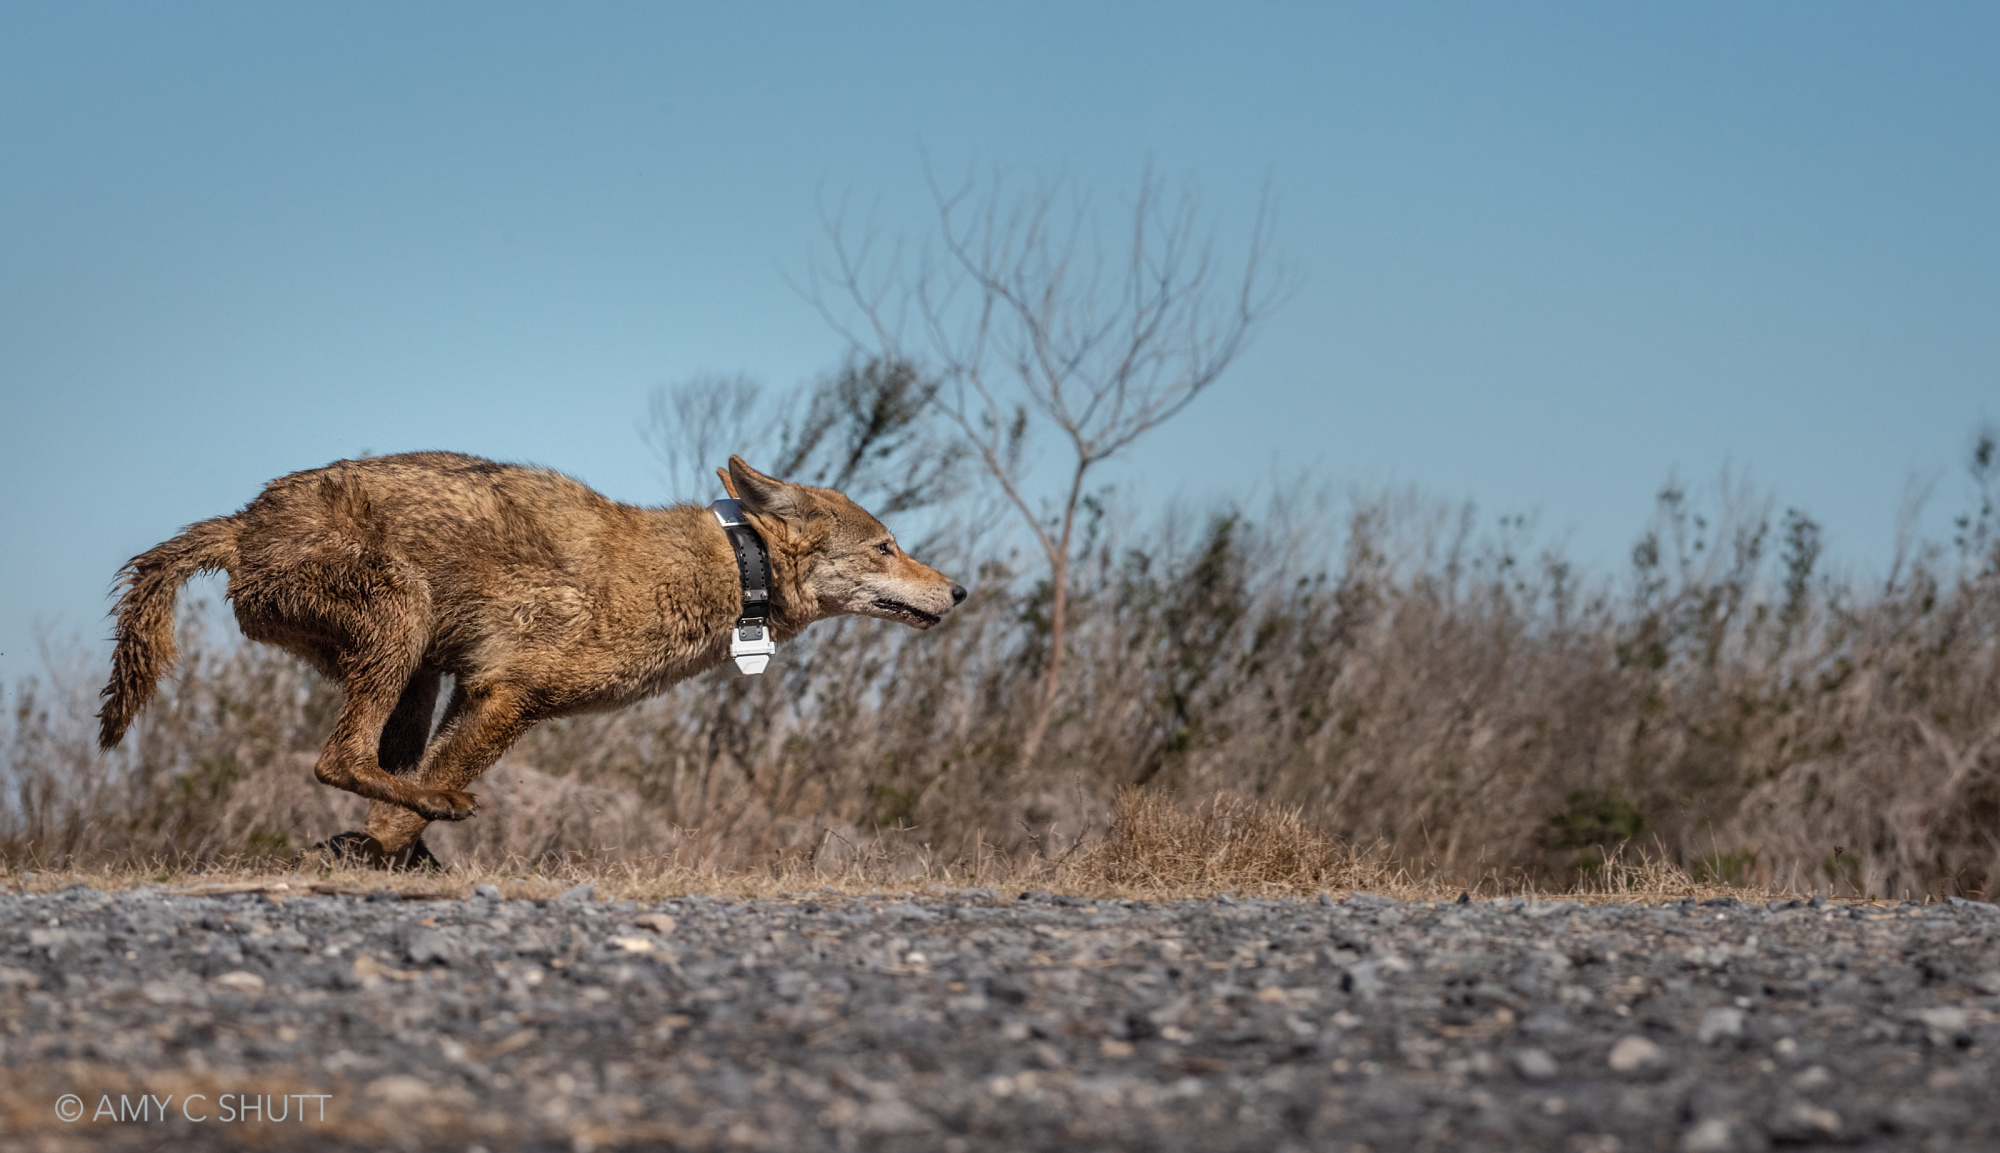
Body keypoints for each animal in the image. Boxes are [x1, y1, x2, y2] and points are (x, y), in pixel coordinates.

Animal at [96, 451, 965, 866]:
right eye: (887, 547)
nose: (959, 591)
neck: (728, 566)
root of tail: (243, 522)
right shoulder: (511, 697)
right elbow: (415, 801)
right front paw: (377, 854)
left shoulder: (474, 693)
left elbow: (399, 809)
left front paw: (373, 858)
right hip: (406, 620)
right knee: (338, 760)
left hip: (418, 672)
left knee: (370, 763)